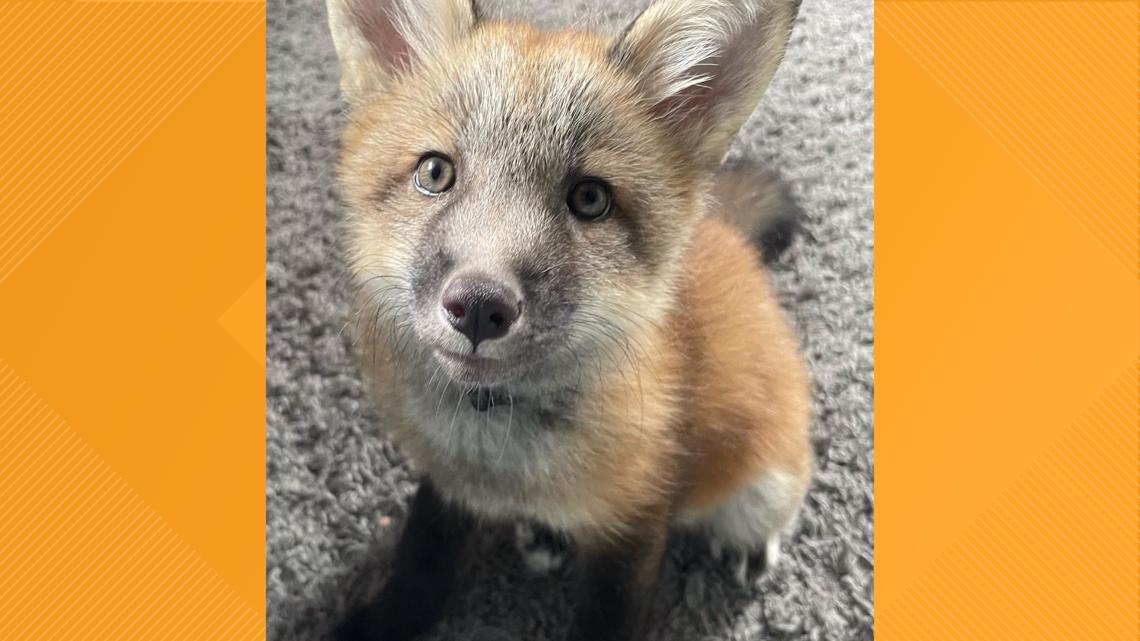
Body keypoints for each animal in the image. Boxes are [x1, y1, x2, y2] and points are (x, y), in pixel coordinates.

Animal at [325, 0, 811, 640]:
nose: (478, 305)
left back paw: (752, 544)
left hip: (766, 479)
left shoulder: (637, 515)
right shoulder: (446, 482)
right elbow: (420, 564)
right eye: (434, 173)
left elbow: (609, 617)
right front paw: (380, 621)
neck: (501, 453)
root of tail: (728, 234)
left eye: (590, 199)